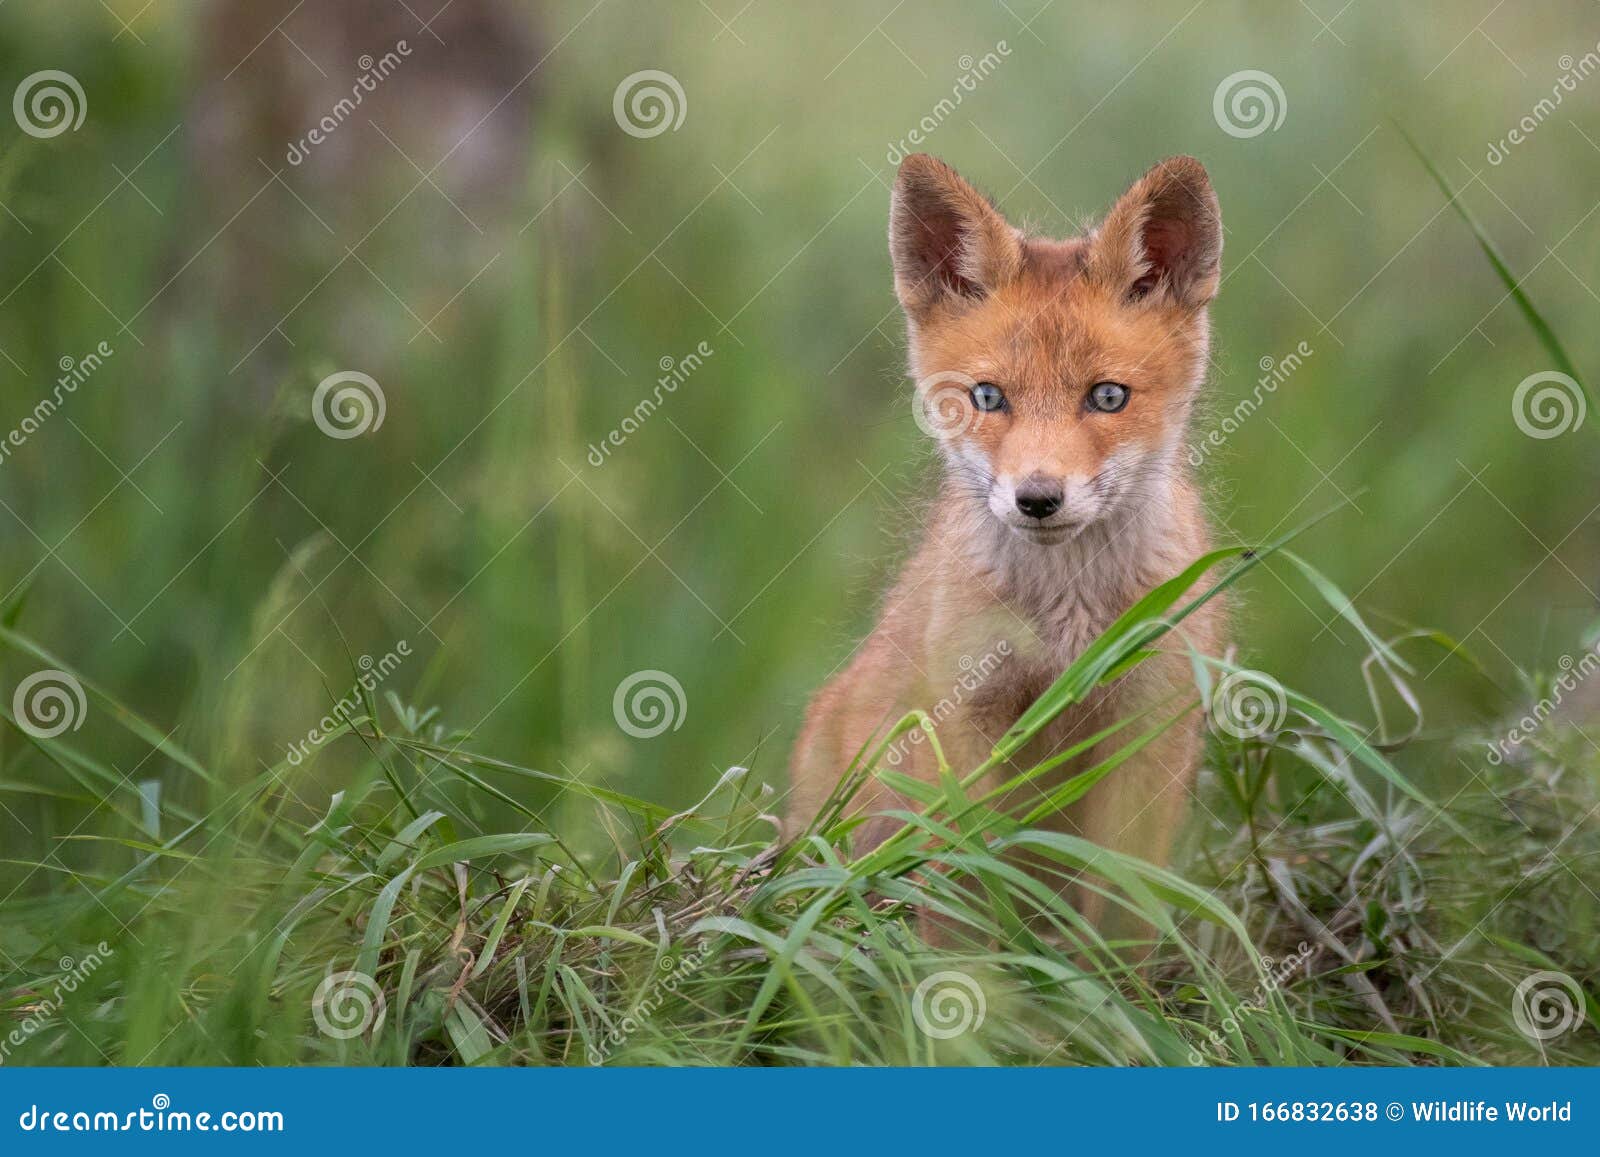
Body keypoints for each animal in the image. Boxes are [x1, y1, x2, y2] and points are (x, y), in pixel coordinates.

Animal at [789, 153, 1227, 932]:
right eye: (989, 398)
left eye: (1107, 397)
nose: (1038, 498)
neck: (1068, 621)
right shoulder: (964, 712)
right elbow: (961, 886)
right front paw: (972, 969)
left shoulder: (1151, 723)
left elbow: (1124, 909)